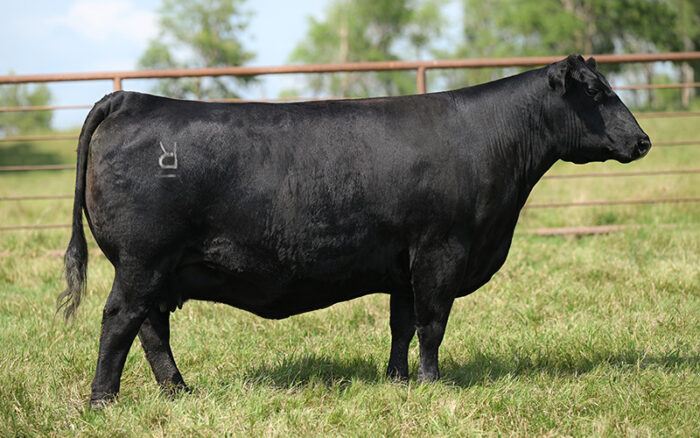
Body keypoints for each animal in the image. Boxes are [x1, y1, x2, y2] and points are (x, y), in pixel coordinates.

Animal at [58, 55, 650, 407]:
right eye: (596, 92)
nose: (643, 141)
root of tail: (133, 98)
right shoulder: (441, 250)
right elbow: (433, 324)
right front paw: (433, 386)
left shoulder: (403, 262)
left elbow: (402, 325)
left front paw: (397, 380)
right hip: (142, 260)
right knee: (121, 321)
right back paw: (103, 400)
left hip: (162, 269)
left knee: (152, 328)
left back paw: (181, 393)